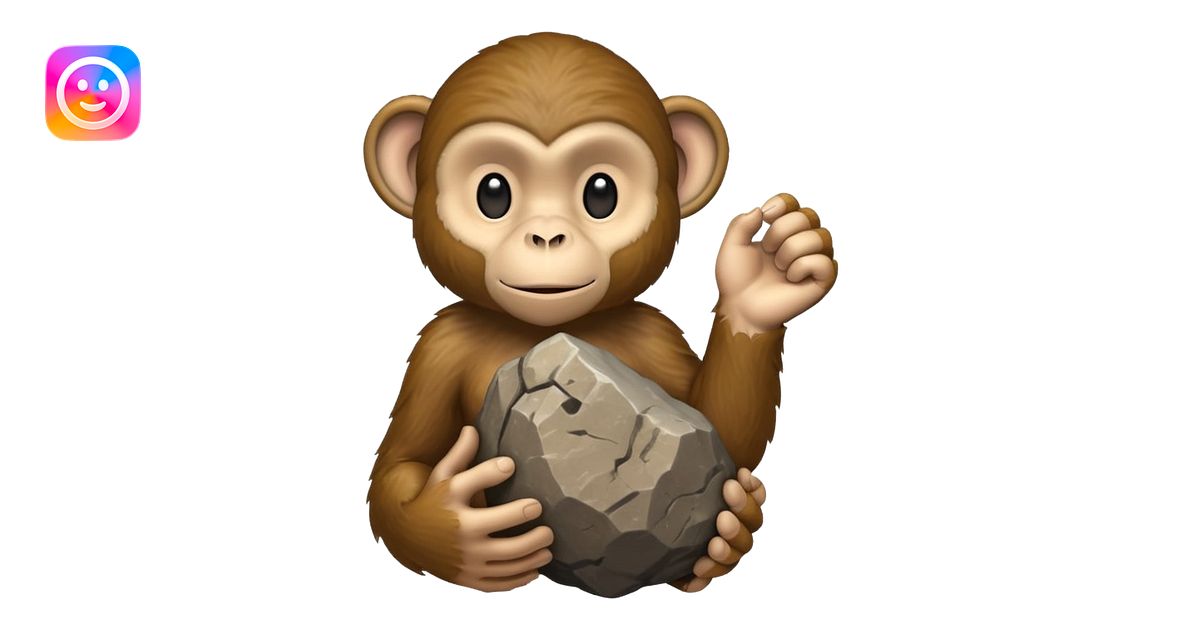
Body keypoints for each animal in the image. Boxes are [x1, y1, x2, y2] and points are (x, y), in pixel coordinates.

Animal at [362, 33, 836, 594]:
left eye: (600, 192)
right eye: (493, 193)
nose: (547, 235)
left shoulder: (653, 331)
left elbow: (723, 428)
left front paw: (764, 279)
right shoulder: (440, 345)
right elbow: (403, 461)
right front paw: (462, 530)